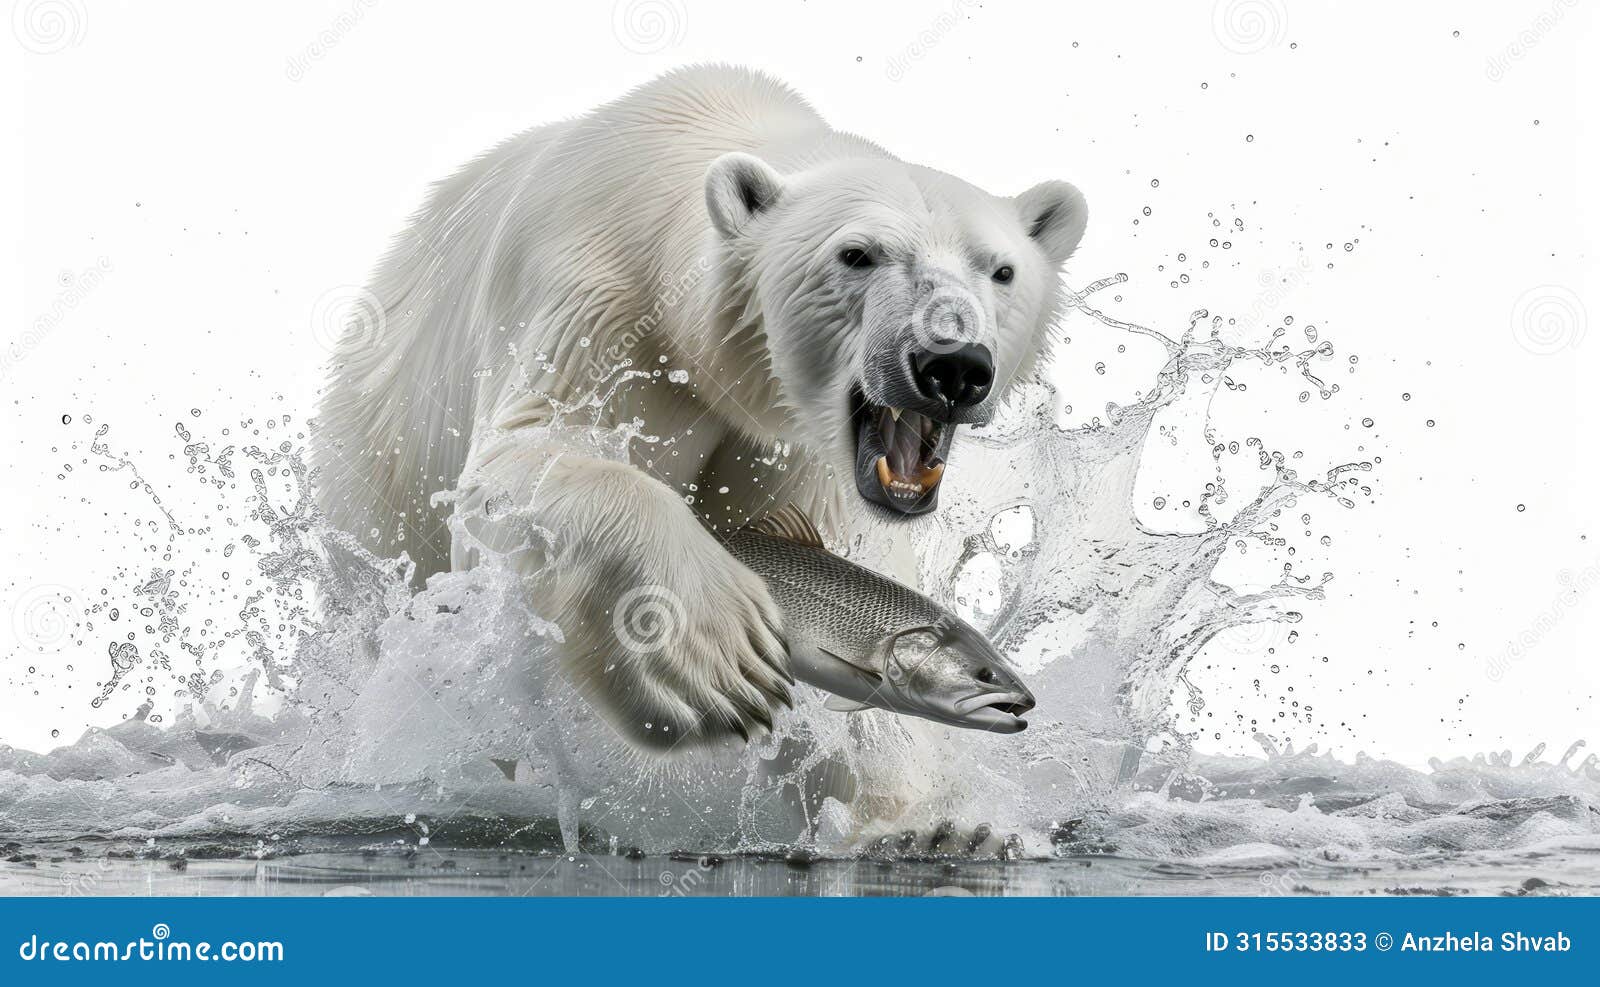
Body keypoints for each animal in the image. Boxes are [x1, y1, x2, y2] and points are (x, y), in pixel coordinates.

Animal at [312, 65, 1087, 751]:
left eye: (1001, 270)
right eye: (857, 254)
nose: (953, 366)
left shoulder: (792, 436)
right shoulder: (591, 305)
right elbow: (518, 463)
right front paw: (712, 659)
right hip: (371, 490)